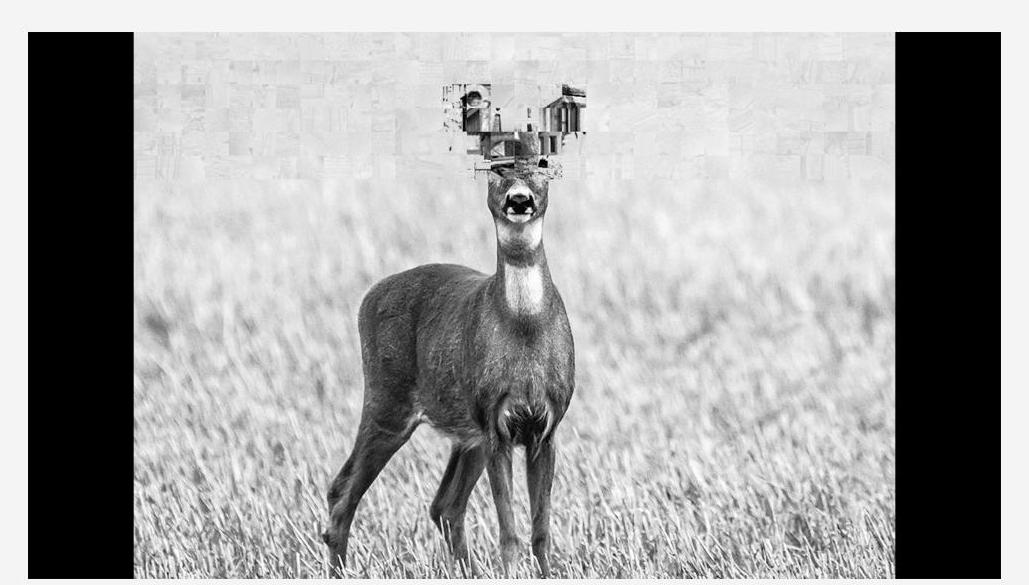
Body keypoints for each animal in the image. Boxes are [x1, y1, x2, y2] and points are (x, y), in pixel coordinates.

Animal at [321, 150, 575, 578]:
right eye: (496, 168)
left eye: (542, 163)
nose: (519, 199)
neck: (524, 329)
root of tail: (366, 298)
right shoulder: (496, 424)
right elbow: (509, 533)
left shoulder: (545, 427)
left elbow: (541, 530)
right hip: (388, 401)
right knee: (341, 491)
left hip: (465, 432)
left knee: (445, 504)